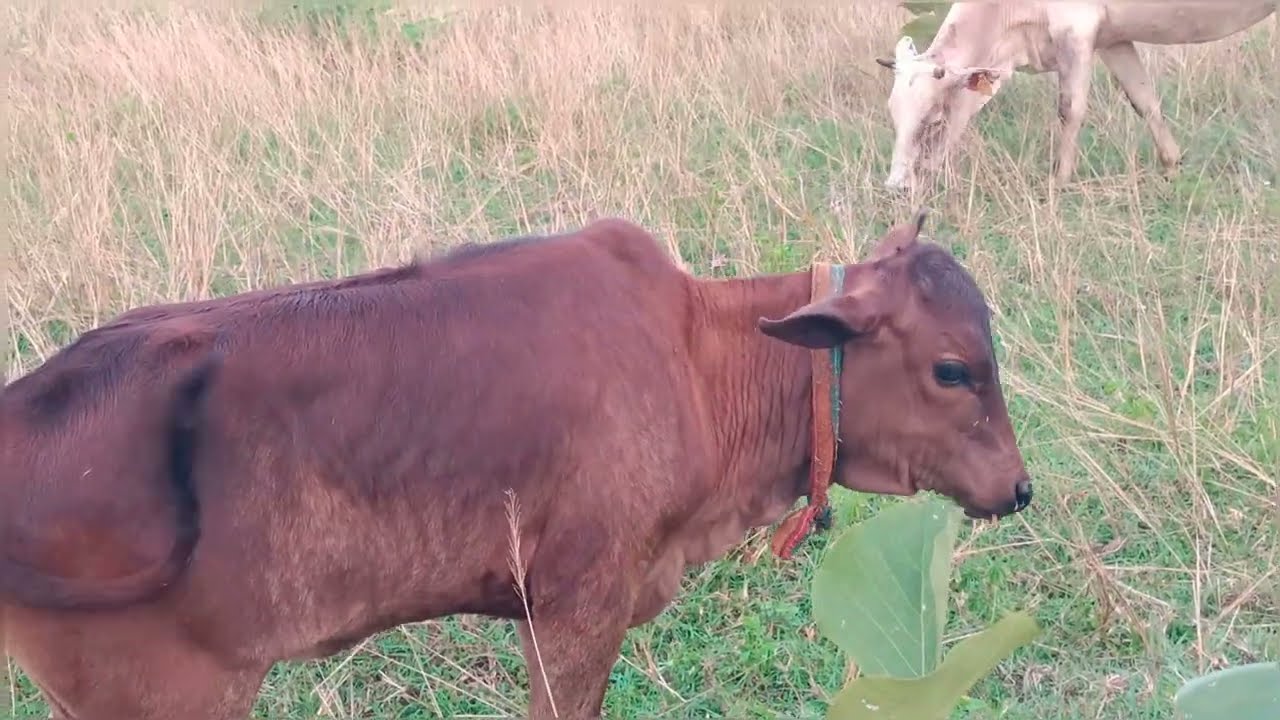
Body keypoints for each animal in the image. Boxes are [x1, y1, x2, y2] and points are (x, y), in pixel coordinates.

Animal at [874, 1, 1278, 192]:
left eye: (935, 119)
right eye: (893, 116)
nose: (897, 188)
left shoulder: (1075, 29)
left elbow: (1070, 107)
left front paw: (1060, 179)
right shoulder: (1113, 39)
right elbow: (1144, 100)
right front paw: (1172, 166)